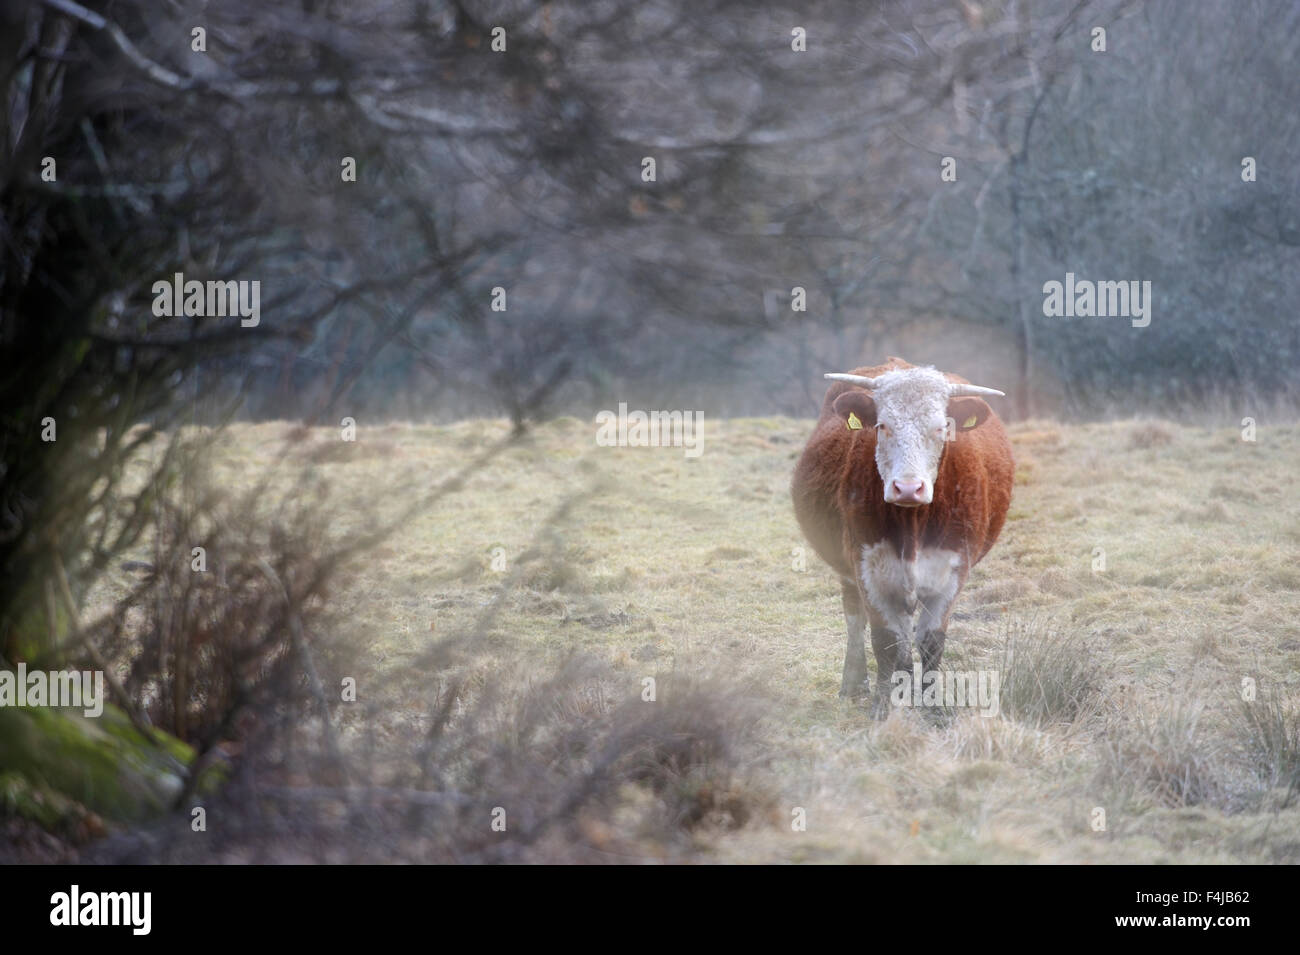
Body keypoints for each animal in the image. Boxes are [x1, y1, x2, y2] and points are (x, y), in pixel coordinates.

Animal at [791, 357, 1014, 714]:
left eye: (941, 428)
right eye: (882, 426)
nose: (908, 488)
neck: (913, 521)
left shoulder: (953, 571)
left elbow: (931, 641)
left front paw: (933, 708)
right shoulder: (867, 569)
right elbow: (884, 640)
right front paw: (883, 706)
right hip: (849, 572)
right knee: (854, 619)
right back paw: (854, 684)